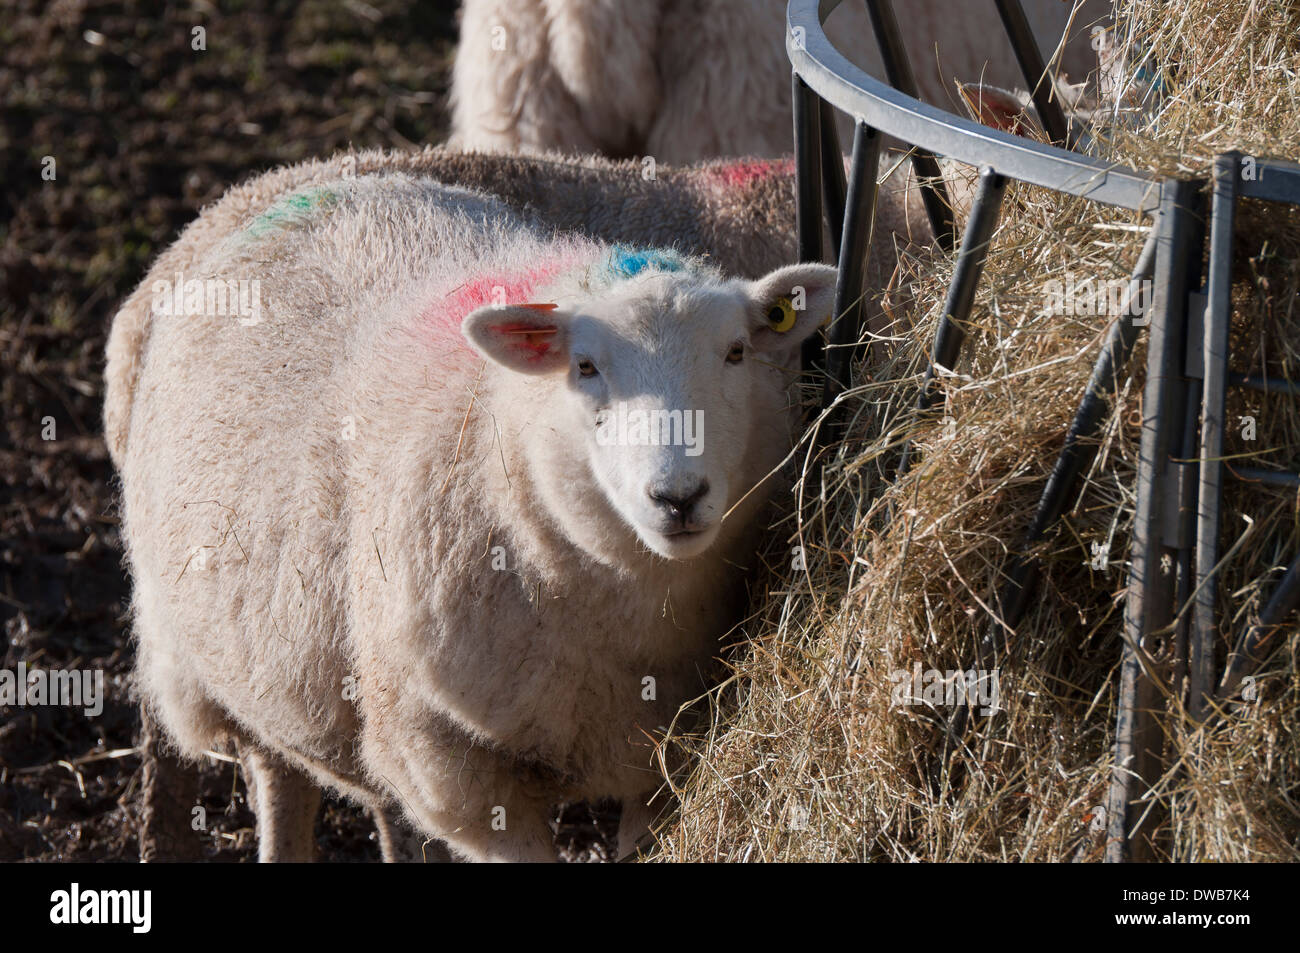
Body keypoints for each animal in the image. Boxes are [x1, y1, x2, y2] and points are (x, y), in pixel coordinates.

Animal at [106, 150, 927, 862]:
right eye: (586, 367)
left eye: (735, 352)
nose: (677, 495)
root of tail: (304, 181)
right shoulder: (460, 768)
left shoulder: (667, 760)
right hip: (220, 664)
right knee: (277, 776)